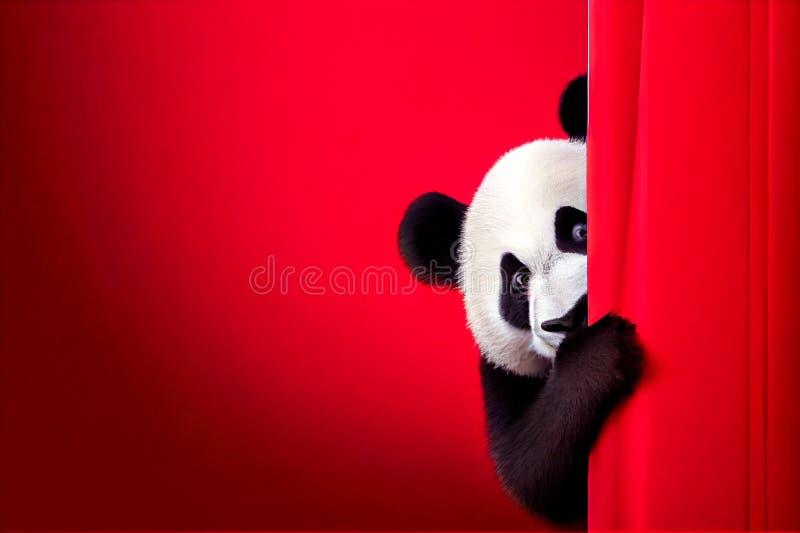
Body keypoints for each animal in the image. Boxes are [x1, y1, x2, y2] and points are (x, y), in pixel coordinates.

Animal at [397, 75, 642, 526]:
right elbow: (531, 475)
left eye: (580, 230)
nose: (571, 316)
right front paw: (596, 356)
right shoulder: (501, 372)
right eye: (518, 281)